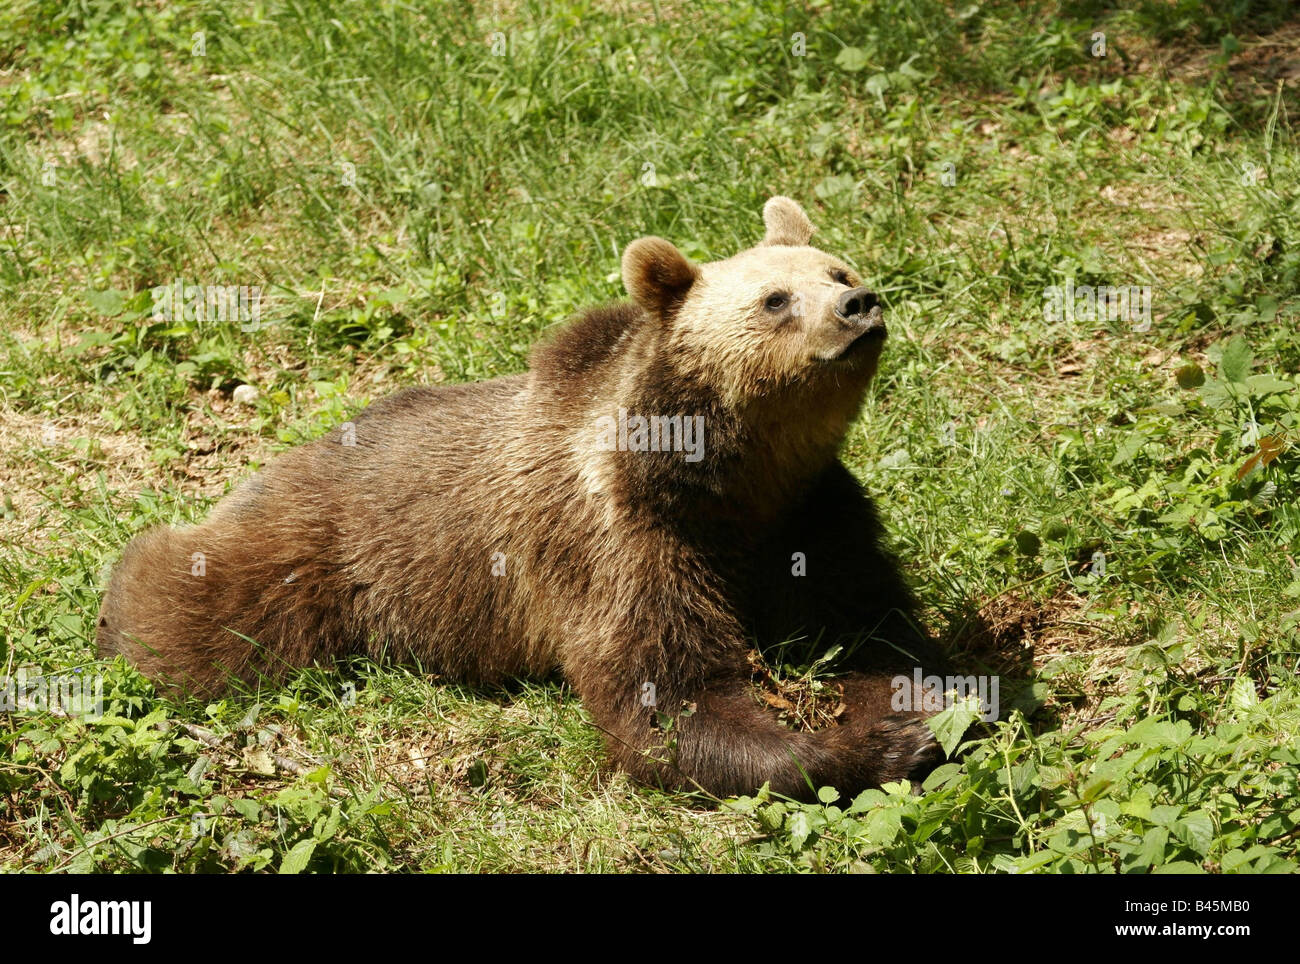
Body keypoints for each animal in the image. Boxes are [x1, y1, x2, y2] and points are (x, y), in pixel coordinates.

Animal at [97, 197, 950, 800]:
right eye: (776, 298)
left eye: (835, 270)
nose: (860, 305)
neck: (732, 480)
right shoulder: (616, 542)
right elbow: (668, 694)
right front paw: (870, 748)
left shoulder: (812, 517)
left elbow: (874, 625)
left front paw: (914, 713)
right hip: (310, 556)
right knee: (200, 612)